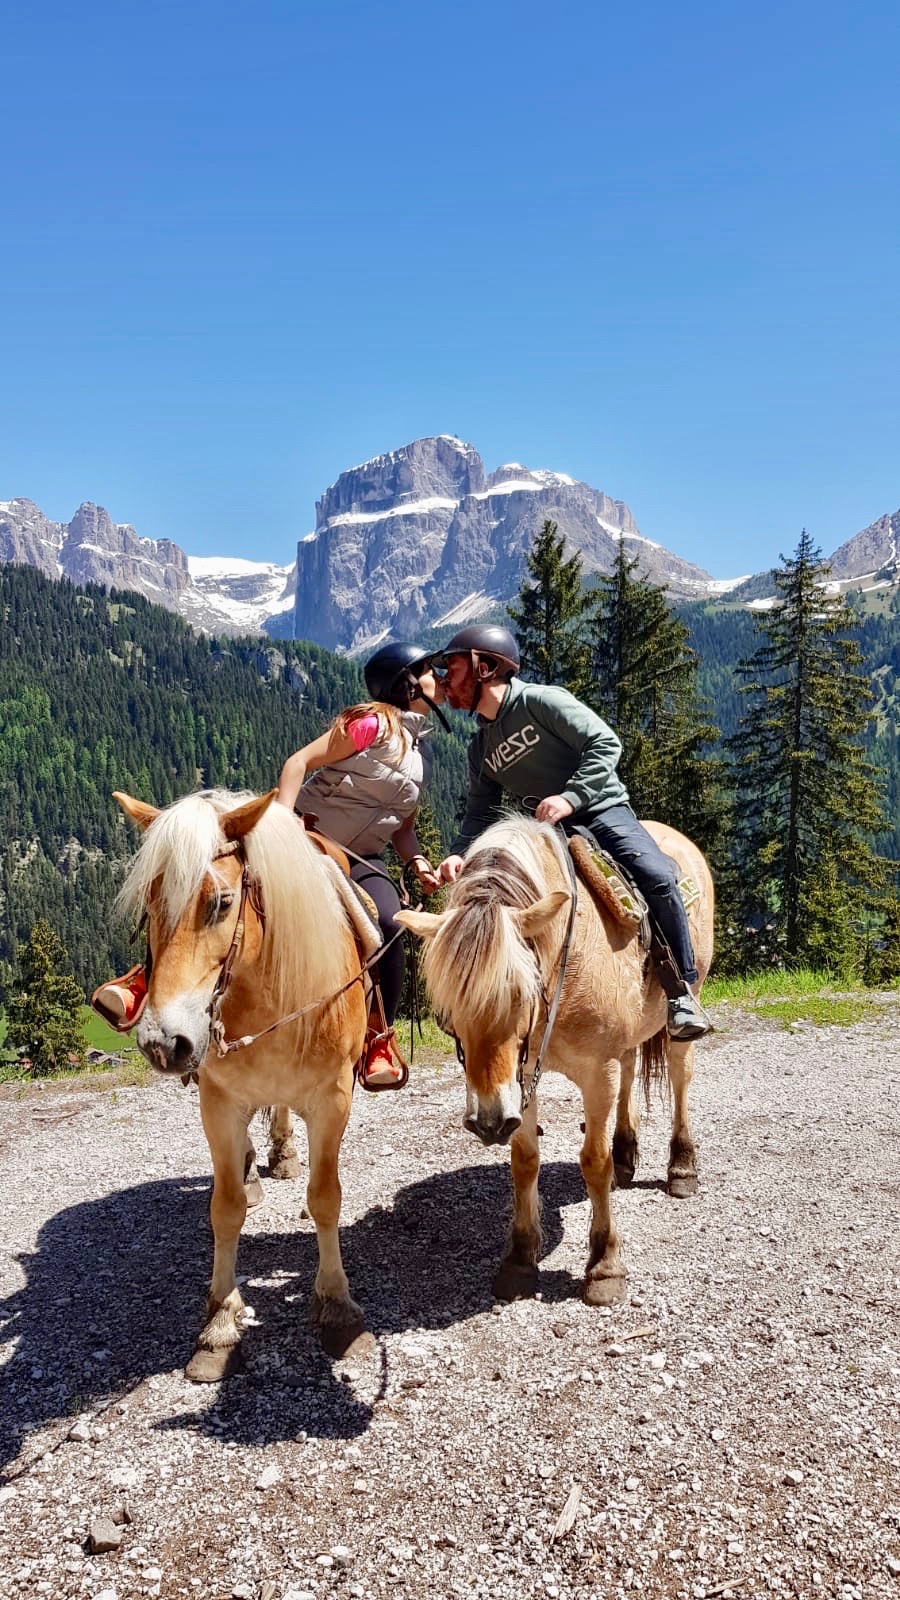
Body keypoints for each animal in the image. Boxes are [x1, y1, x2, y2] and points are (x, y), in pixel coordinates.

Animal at [114, 786, 378, 1380]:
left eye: (221, 902)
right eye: (149, 906)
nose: (164, 1043)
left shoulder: (332, 1100)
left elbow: (325, 1198)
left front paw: (336, 1304)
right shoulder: (219, 1103)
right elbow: (225, 1207)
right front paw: (220, 1320)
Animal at [397, 814, 714, 1306]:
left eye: (521, 995)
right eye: (447, 1014)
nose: (488, 1124)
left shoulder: (595, 1071)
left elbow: (594, 1162)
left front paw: (604, 1267)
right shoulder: (521, 1076)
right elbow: (524, 1161)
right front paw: (520, 1259)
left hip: (686, 1003)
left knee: (680, 1079)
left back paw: (681, 1166)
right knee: (629, 1070)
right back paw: (627, 1153)